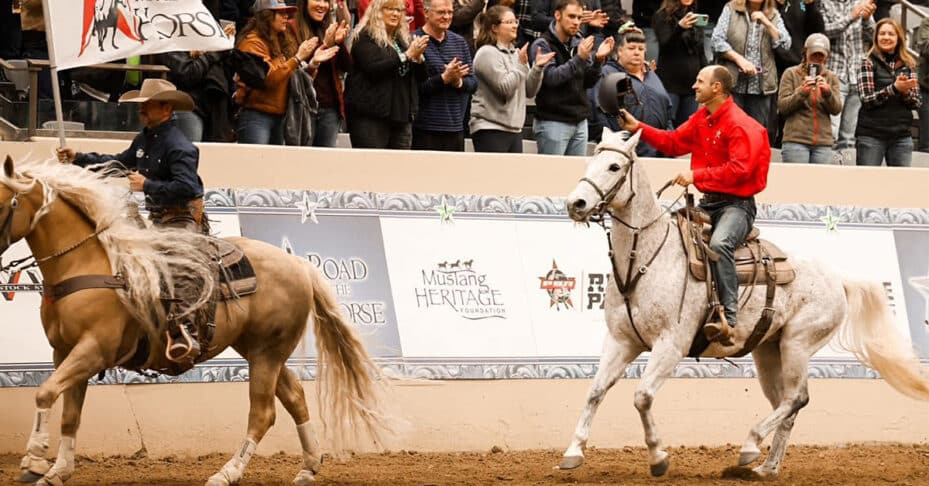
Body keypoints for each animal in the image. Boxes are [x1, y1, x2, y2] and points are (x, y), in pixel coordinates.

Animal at [0, 155, 389, 486]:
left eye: (5, 203)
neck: (90, 265)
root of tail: (299, 265)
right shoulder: (65, 352)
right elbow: (69, 412)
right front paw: (58, 470)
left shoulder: (93, 349)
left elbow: (45, 392)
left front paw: (33, 461)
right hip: (261, 350)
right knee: (294, 397)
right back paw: (309, 467)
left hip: (267, 353)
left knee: (263, 413)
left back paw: (227, 473)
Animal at [558, 129, 929, 479]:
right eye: (589, 162)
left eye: (614, 166)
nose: (576, 203)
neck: (648, 258)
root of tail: (838, 279)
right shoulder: (622, 341)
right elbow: (595, 391)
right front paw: (573, 453)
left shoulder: (671, 345)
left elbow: (642, 397)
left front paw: (658, 457)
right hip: (768, 352)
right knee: (788, 405)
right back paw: (765, 468)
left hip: (798, 343)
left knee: (797, 398)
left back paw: (750, 447)